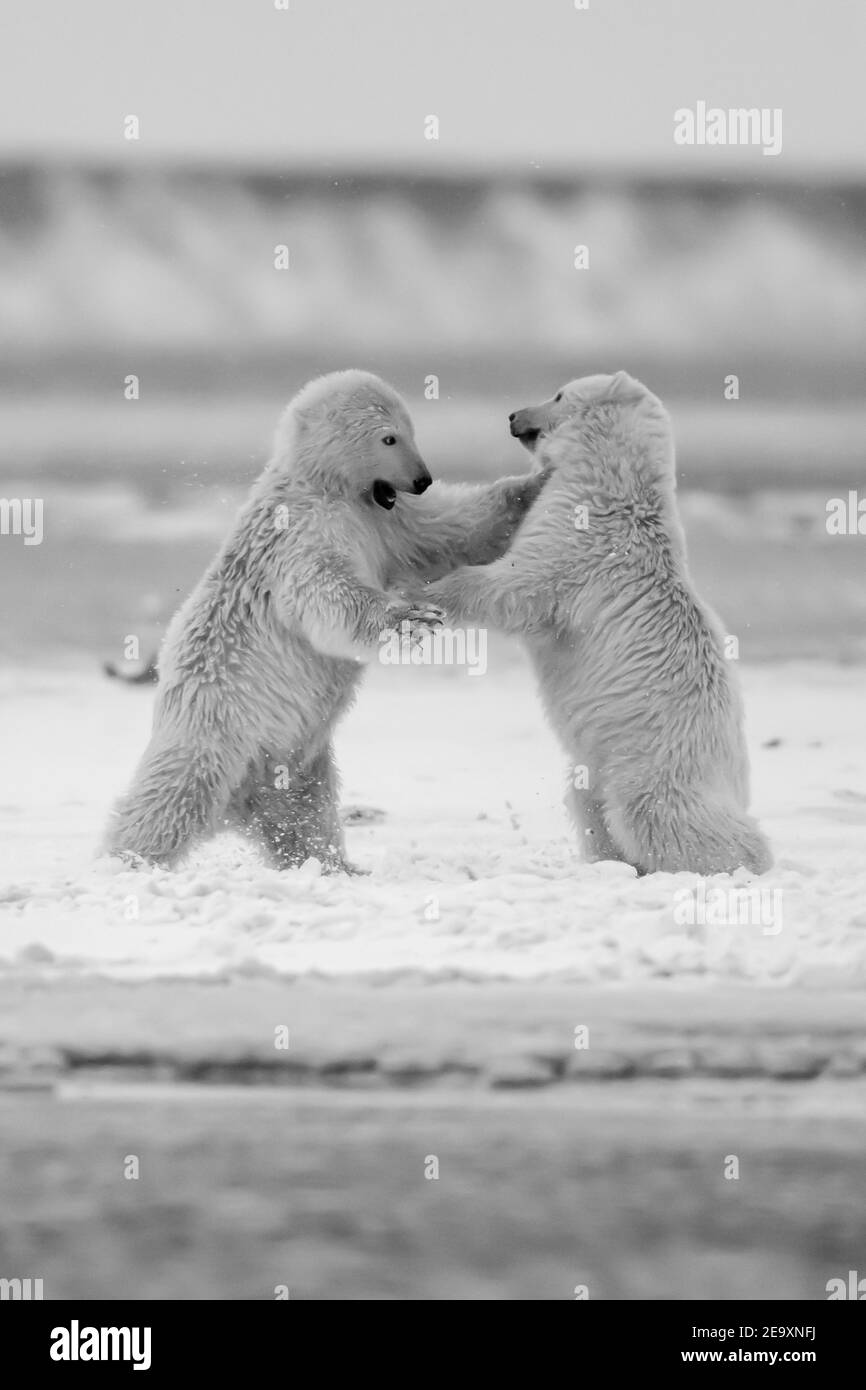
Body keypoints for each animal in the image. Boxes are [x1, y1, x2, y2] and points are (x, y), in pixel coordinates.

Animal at [103, 369, 549, 872]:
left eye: (412, 430)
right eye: (389, 437)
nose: (422, 479)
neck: (328, 487)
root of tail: (236, 802)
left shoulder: (386, 521)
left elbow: (448, 531)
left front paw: (534, 483)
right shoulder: (304, 532)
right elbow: (328, 592)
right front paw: (413, 617)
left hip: (293, 757)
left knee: (305, 809)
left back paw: (334, 864)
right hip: (218, 725)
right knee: (170, 795)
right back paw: (126, 859)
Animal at [424, 371, 772, 876]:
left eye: (557, 394)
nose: (513, 415)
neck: (618, 488)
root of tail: (736, 775)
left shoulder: (580, 542)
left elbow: (517, 588)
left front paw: (429, 591)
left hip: (654, 756)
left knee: (657, 815)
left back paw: (741, 860)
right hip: (599, 759)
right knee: (588, 799)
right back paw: (609, 863)